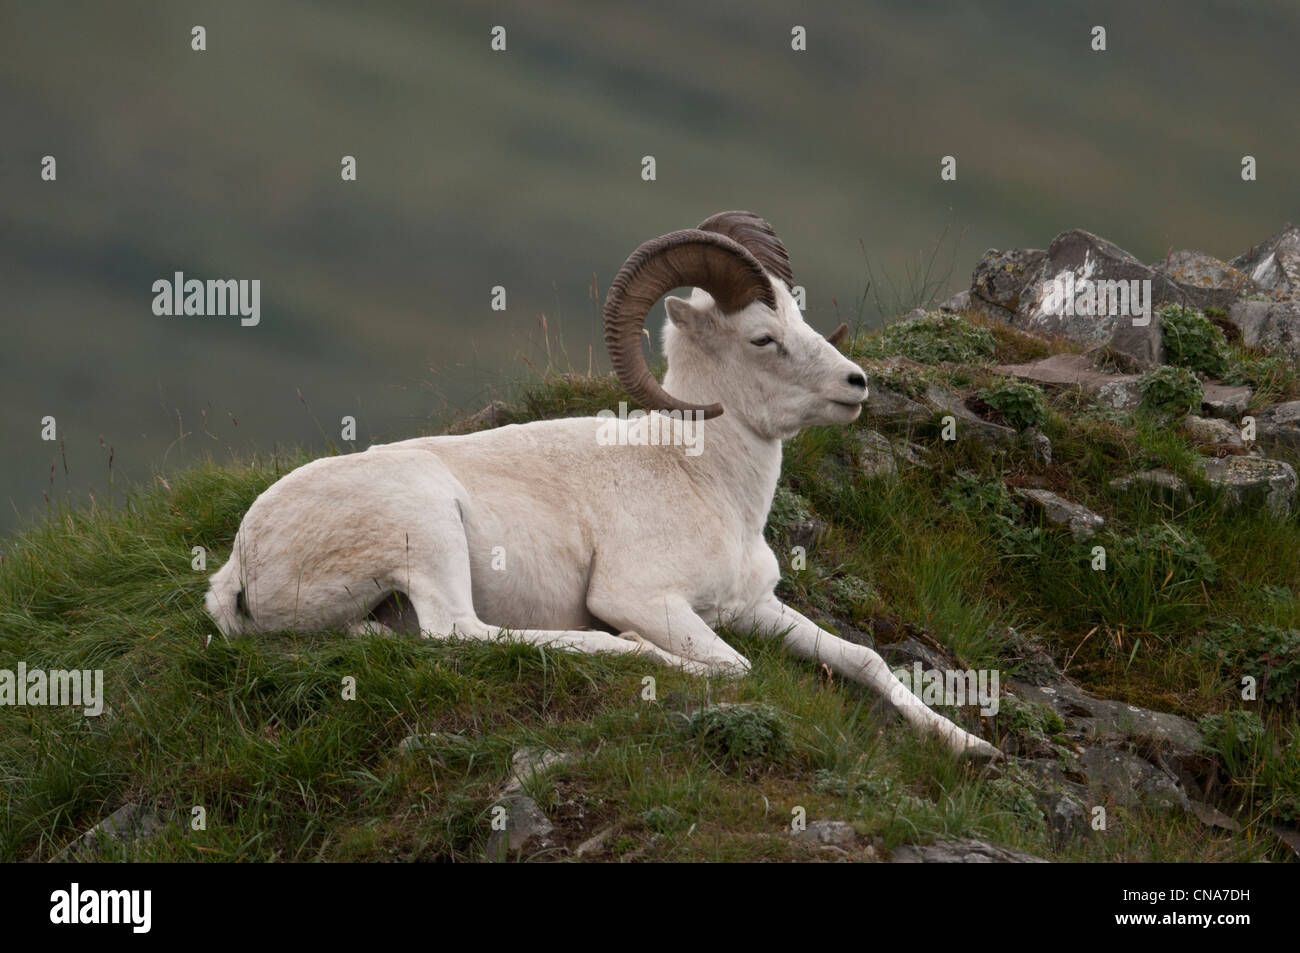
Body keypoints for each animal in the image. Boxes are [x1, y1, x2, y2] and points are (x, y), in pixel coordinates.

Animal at [205, 211, 999, 759]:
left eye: (799, 315)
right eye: (763, 337)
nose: (856, 385)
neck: (701, 479)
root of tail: (242, 563)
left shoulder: (753, 606)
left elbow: (864, 659)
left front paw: (972, 746)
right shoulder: (643, 598)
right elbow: (736, 665)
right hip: (429, 524)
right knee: (461, 632)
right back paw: (633, 654)